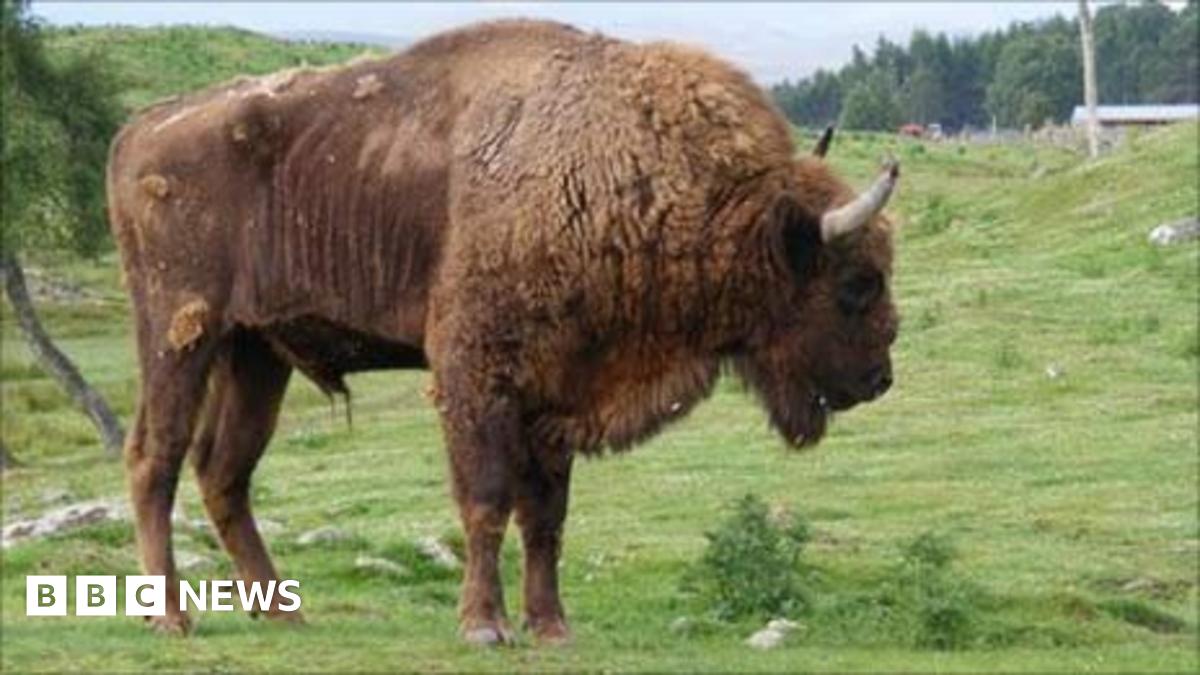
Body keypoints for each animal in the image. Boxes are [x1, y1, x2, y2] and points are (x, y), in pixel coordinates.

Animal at [106, 19, 900, 644]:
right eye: (855, 284)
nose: (879, 377)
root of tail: (139, 130)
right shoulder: (475, 376)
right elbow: (486, 501)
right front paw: (484, 626)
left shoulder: (559, 395)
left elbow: (546, 517)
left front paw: (551, 627)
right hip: (180, 332)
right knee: (155, 456)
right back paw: (170, 616)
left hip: (255, 352)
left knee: (224, 471)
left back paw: (282, 613)